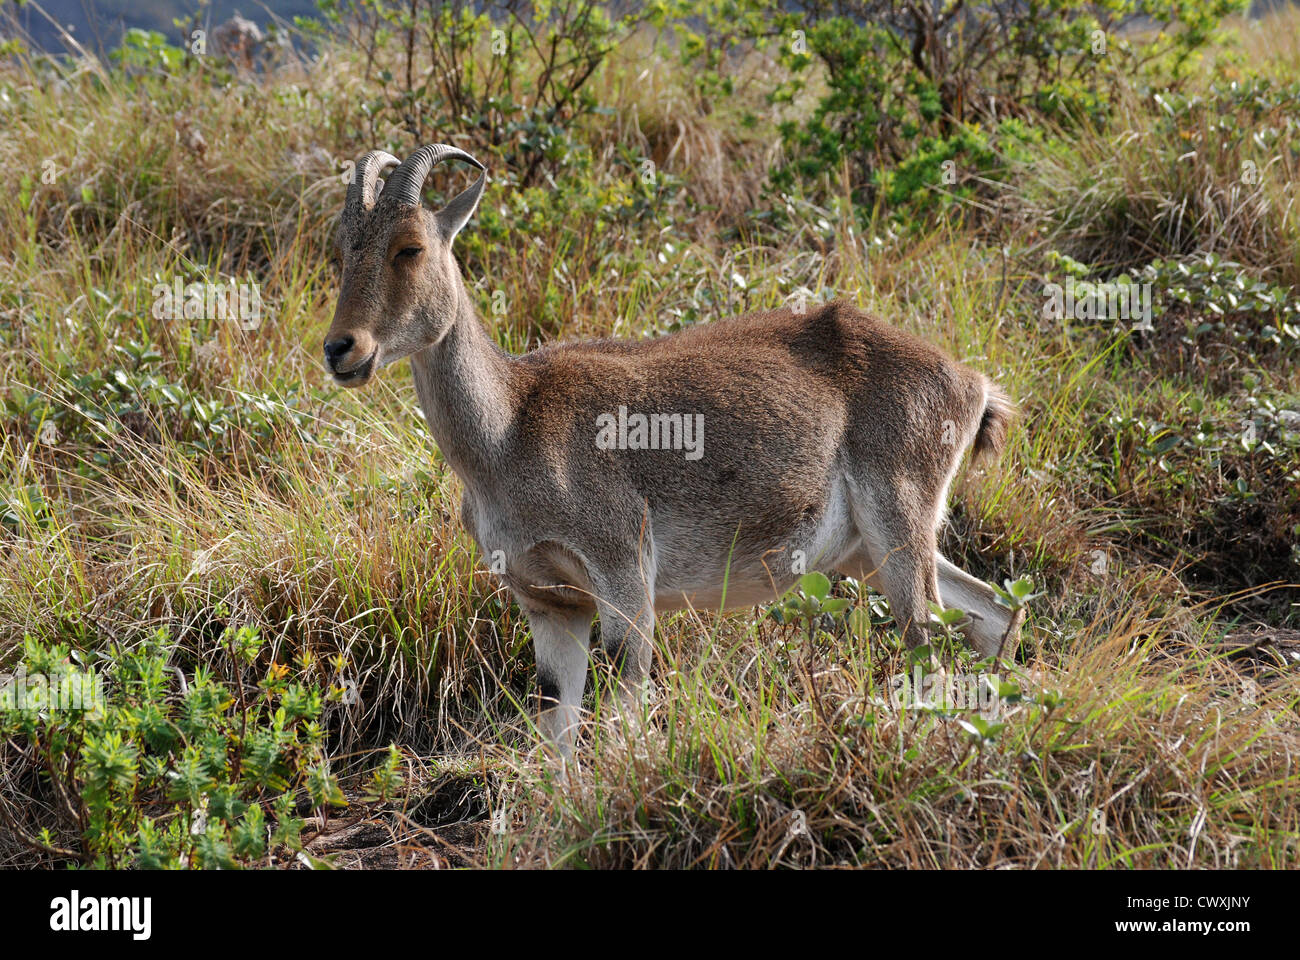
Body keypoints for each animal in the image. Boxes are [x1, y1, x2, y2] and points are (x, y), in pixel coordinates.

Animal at [324, 144, 1026, 760]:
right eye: (342, 249)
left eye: (410, 247)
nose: (341, 349)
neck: (509, 430)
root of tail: (971, 385)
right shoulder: (548, 602)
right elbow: (557, 733)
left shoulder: (623, 574)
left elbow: (622, 710)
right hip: (867, 550)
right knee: (987, 612)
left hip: (899, 516)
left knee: (927, 634)